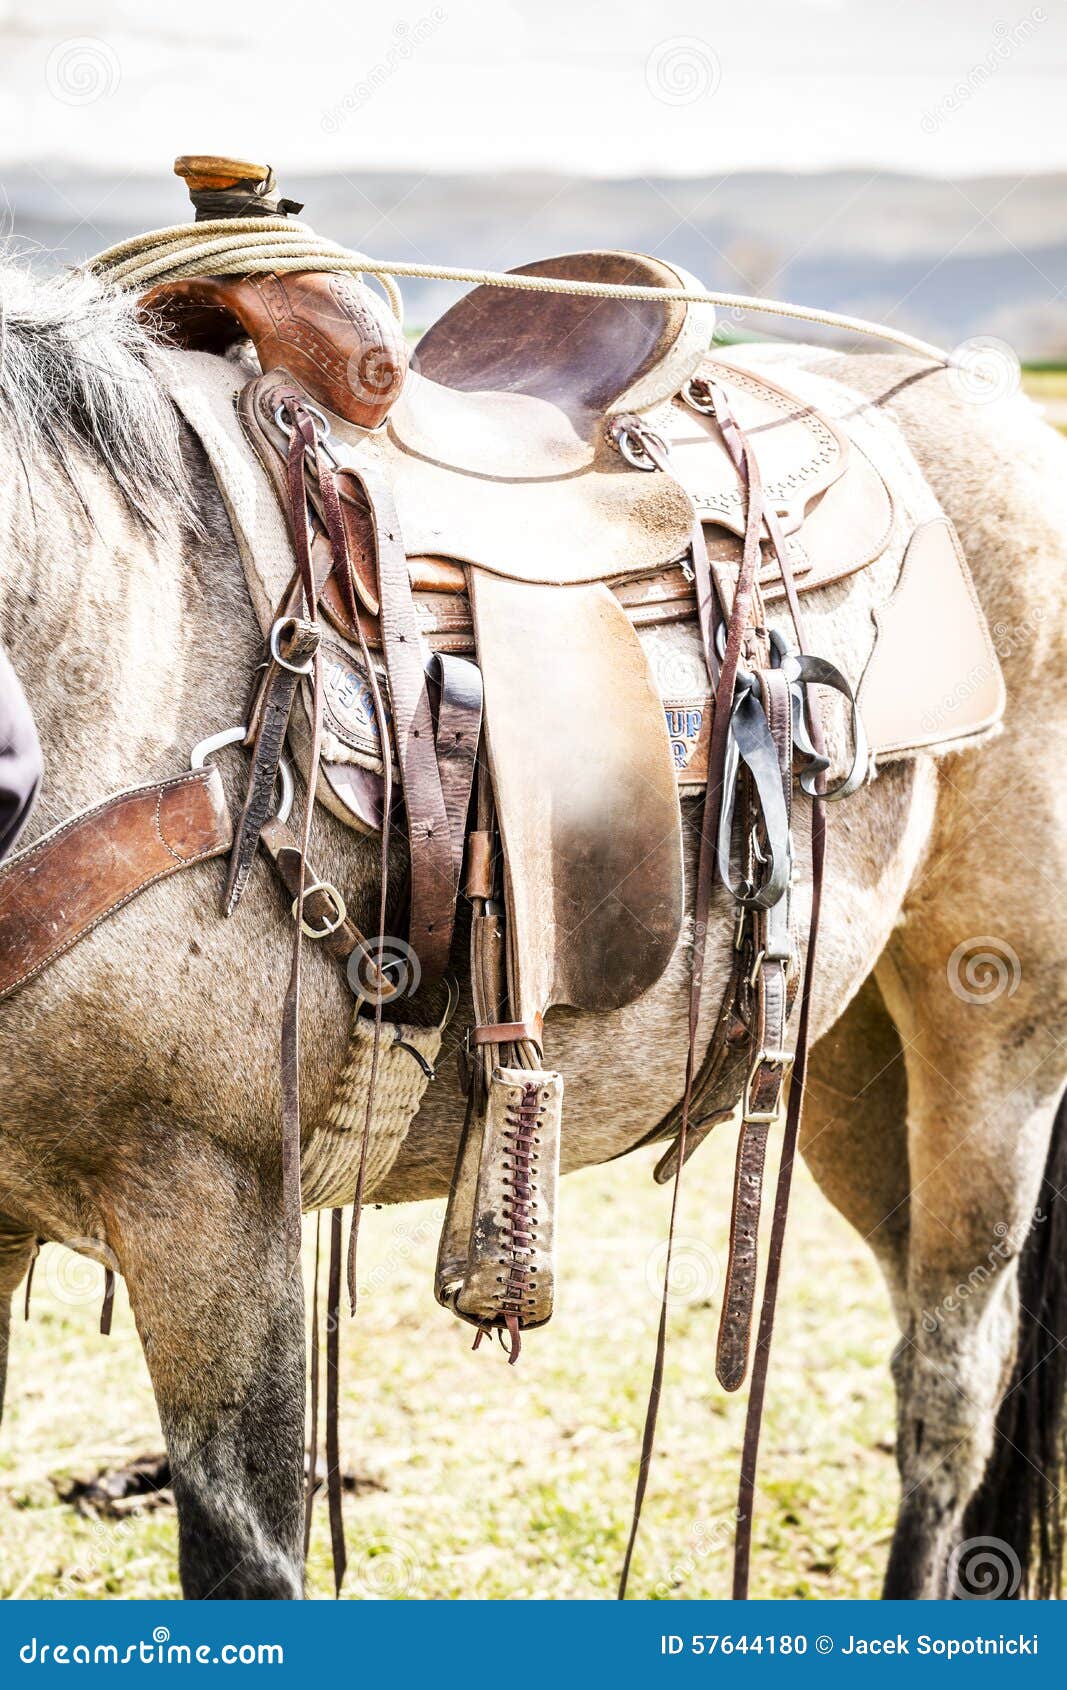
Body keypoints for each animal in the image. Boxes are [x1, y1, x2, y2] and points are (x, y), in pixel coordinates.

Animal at [0, 258, 1064, 1600]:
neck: (99, 630)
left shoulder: (215, 1207)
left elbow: (245, 1562)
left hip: (992, 1036)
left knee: (952, 1372)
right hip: (851, 1071)